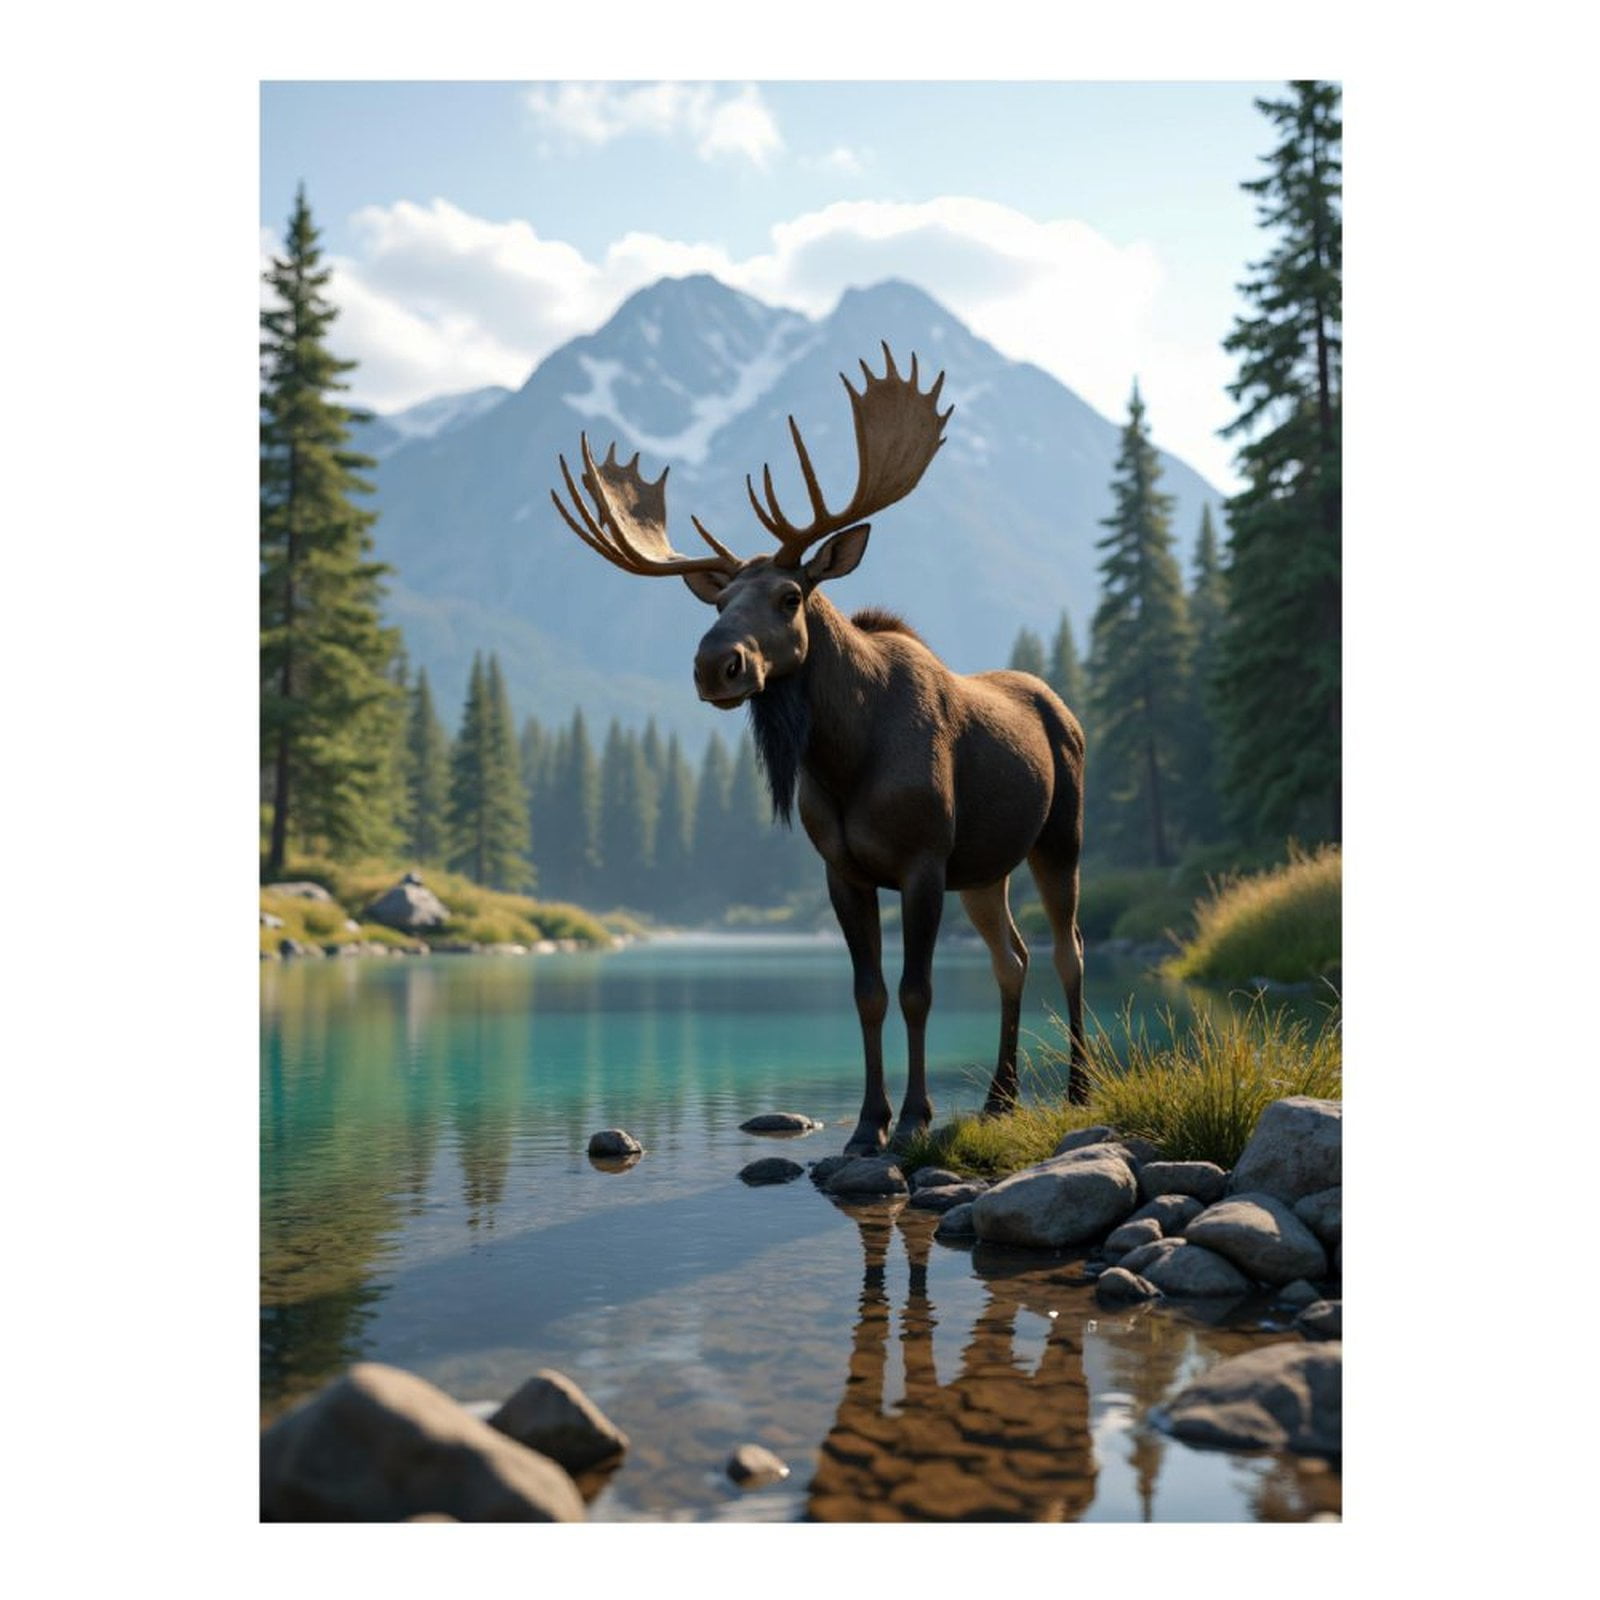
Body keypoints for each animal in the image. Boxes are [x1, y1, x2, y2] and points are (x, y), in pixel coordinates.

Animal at [552, 344, 1087, 1156]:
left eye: (789, 596)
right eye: (718, 601)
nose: (715, 665)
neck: (844, 758)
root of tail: (1066, 712)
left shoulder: (924, 861)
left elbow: (917, 991)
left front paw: (914, 1120)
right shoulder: (843, 869)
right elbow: (867, 994)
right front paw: (867, 1124)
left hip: (1060, 838)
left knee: (1068, 950)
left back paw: (1081, 1087)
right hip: (985, 869)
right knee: (1012, 958)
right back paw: (1000, 1099)